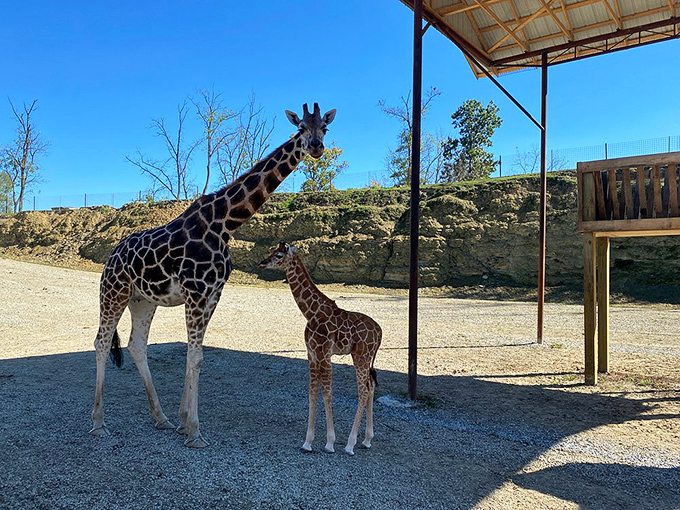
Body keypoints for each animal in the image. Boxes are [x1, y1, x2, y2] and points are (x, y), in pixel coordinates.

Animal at [90, 103, 336, 448]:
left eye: (324, 129)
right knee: (100, 341)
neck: (225, 223)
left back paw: (160, 418)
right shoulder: (195, 291)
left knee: (137, 345)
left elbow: (196, 356)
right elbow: (194, 356)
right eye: (300, 127)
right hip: (113, 291)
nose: (315, 147)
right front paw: (194, 432)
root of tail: (111, 255)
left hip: (142, 299)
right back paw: (98, 422)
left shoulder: (213, 292)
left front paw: (183, 423)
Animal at [259, 243, 382, 455]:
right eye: (272, 251)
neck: (311, 313)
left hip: (361, 356)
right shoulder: (312, 354)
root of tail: (380, 332)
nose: (262, 263)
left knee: (364, 391)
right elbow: (312, 393)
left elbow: (327, 394)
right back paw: (366, 440)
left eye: (279, 255)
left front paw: (330, 442)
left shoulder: (324, 354)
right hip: (366, 358)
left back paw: (350, 444)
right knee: (371, 386)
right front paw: (307, 442)